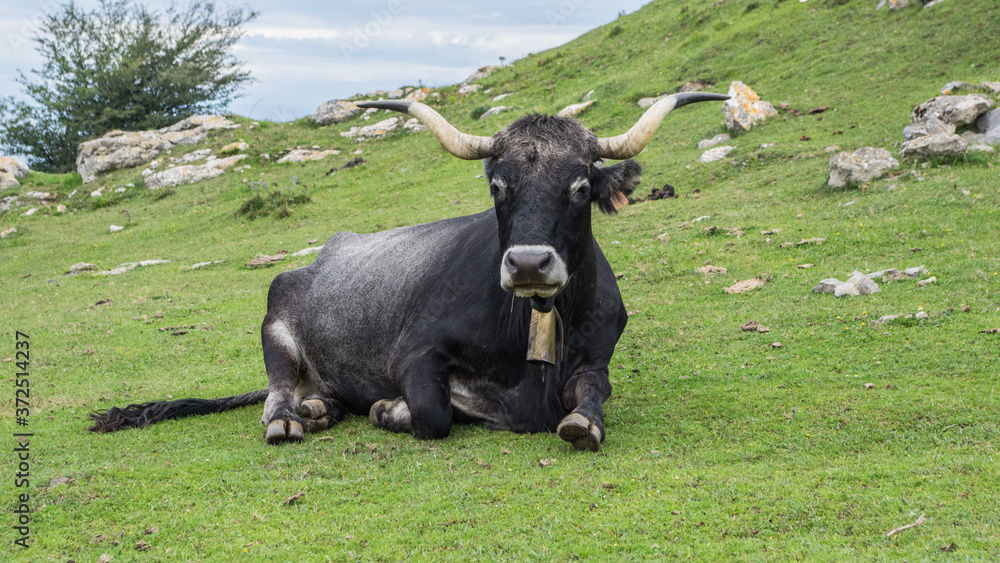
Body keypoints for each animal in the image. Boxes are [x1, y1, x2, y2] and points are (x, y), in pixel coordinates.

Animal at [89, 91, 728, 451]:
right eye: (498, 186)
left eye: (579, 186)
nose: (528, 263)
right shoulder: (414, 354)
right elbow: (433, 413)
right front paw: (389, 410)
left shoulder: (596, 358)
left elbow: (592, 401)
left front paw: (581, 422)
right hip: (274, 328)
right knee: (277, 390)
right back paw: (293, 419)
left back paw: (321, 408)